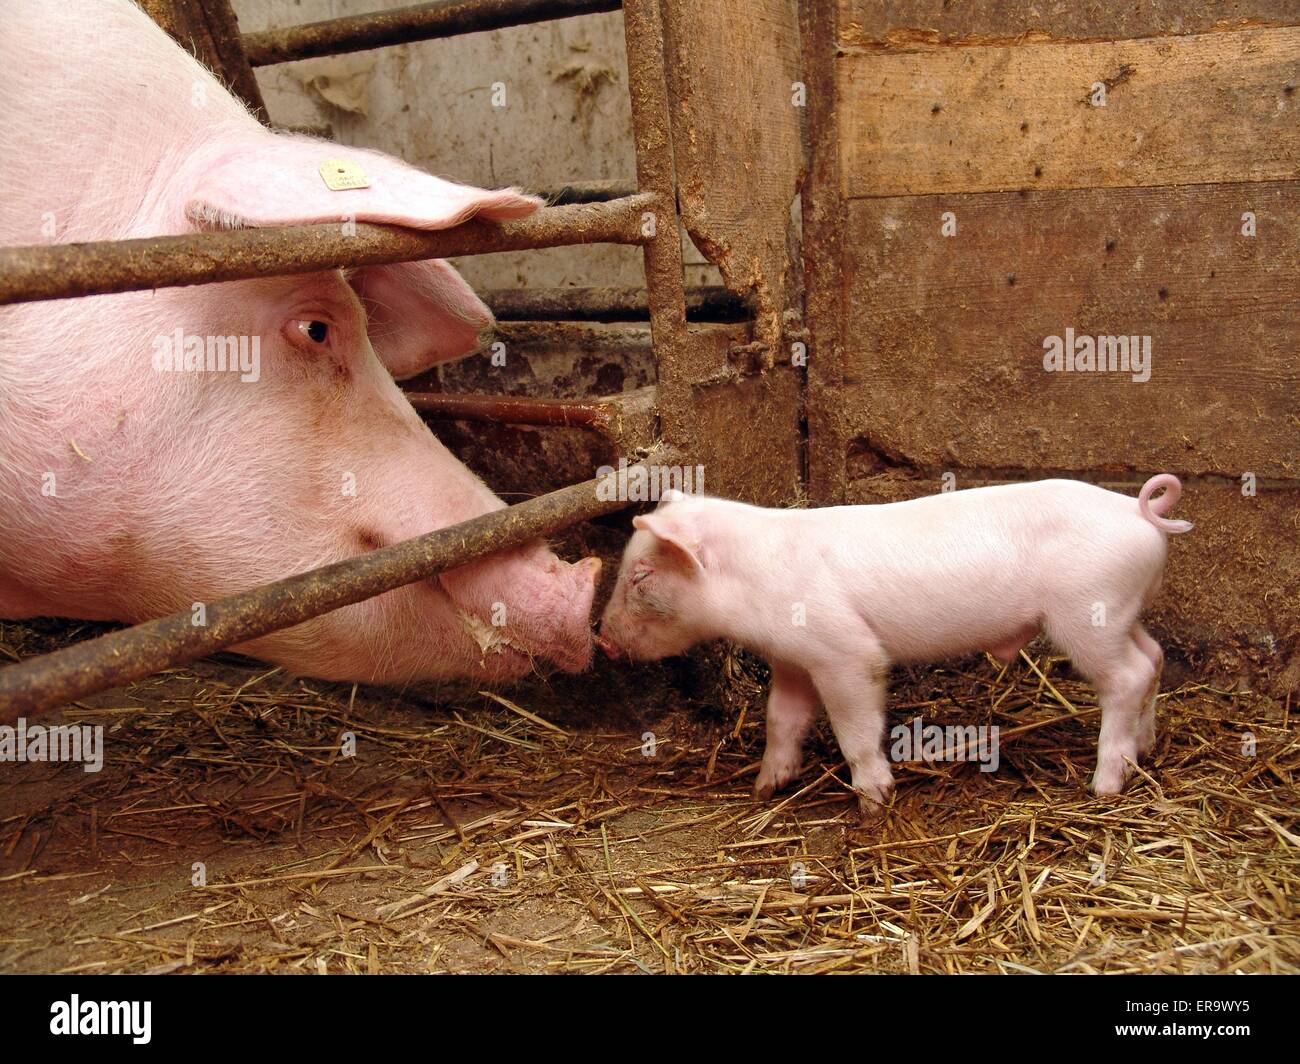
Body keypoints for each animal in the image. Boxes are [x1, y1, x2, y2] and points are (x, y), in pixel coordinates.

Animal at [597, 476, 1194, 809]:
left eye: (640, 576)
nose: (600, 639)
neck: (753, 584)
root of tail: (1139, 512)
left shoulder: (844, 651)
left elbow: (855, 728)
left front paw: (873, 802)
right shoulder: (793, 659)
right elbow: (782, 720)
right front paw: (766, 788)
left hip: (1087, 614)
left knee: (1128, 676)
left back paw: (1105, 786)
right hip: (1121, 613)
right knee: (1154, 658)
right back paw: (1144, 751)